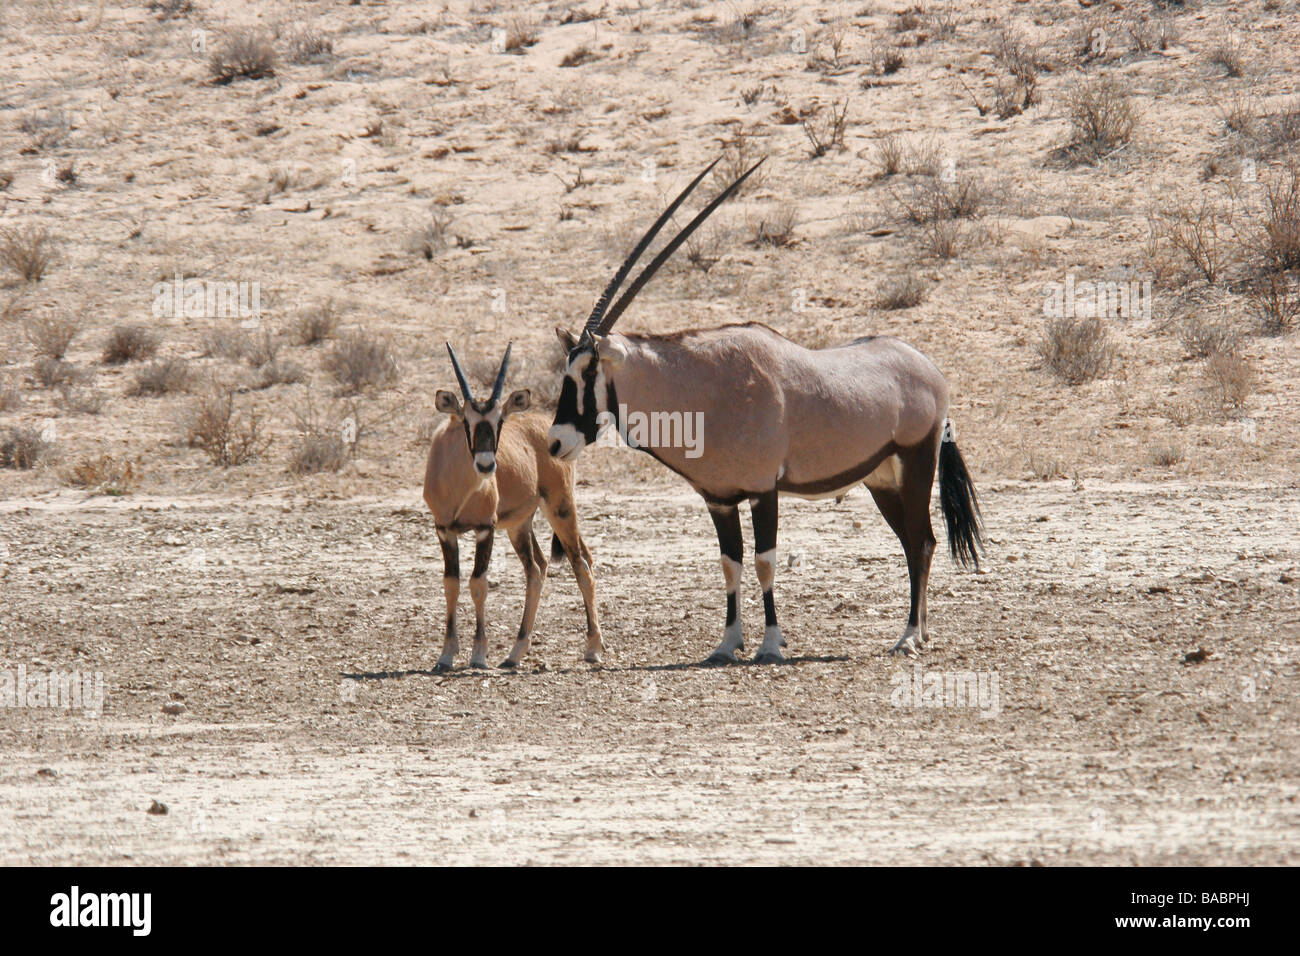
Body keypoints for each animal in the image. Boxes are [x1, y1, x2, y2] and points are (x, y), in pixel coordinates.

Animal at [423, 343, 603, 671]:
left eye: (500, 421)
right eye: (466, 421)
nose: (486, 465)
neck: (459, 486)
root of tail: (544, 424)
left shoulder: (485, 528)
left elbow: (478, 583)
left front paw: (478, 655)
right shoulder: (443, 529)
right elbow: (451, 584)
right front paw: (446, 655)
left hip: (560, 507)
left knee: (581, 564)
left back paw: (593, 648)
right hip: (520, 525)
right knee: (537, 568)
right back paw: (515, 652)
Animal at [547, 159, 983, 662]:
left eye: (587, 372)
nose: (555, 442)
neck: (704, 388)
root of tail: (930, 370)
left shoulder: (763, 490)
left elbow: (764, 563)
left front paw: (771, 644)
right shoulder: (718, 499)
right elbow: (730, 565)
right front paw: (727, 643)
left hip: (916, 464)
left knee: (924, 540)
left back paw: (909, 635)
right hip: (882, 481)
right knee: (913, 544)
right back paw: (922, 632)